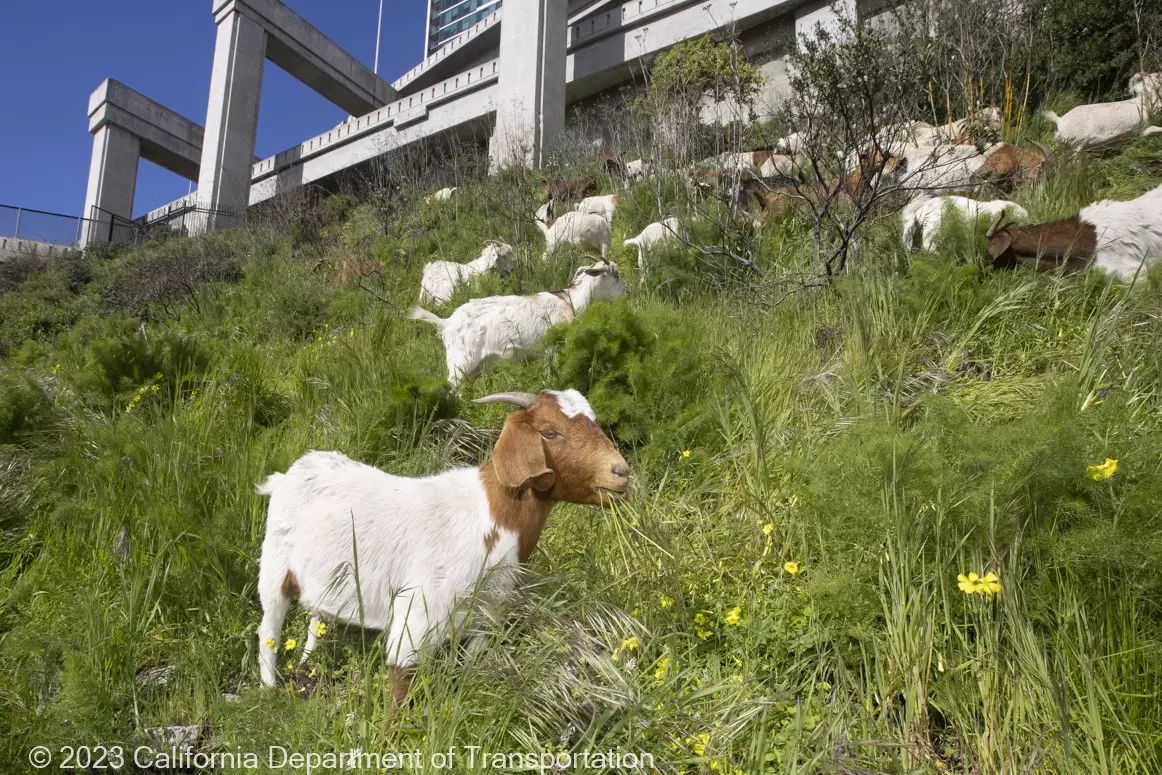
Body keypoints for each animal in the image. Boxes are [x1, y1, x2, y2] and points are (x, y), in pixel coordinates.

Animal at [256, 389, 629, 700]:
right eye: (550, 431)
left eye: (594, 422)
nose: (621, 472)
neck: (490, 515)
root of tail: (286, 475)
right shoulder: (417, 617)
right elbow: (399, 688)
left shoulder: (485, 618)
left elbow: (467, 666)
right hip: (273, 566)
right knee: (268, 629)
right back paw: (270, 688)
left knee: (316, 620)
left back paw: (306, 668)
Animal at [410, 260, 626, 384]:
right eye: (615, 274)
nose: (626, 290)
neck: (570, 301)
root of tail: (446, 322)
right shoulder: (550, 347)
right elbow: (551, 372)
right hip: (460, 361)